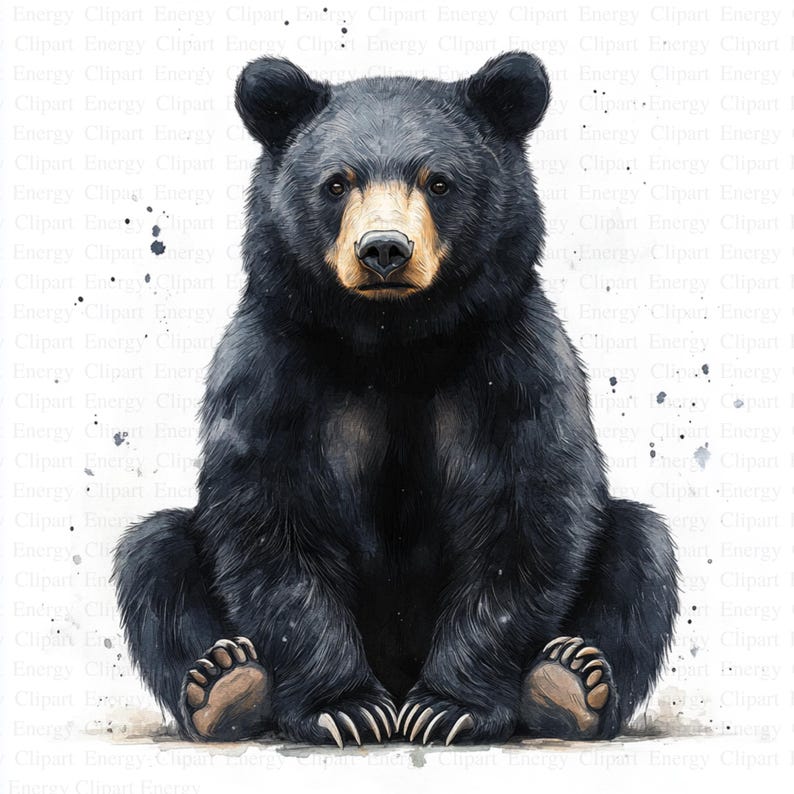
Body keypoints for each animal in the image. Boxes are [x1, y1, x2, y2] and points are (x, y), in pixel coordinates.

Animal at [112, 52, 680, 747]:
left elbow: (530, 511)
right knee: (153, 554)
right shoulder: (271, 368)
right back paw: (226, 684)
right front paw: (346, 707)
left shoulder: (518, 365)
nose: (384, 248)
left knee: (641, 547)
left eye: (439, 181)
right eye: (336, 183)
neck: (394, 341)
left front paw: (446, 707)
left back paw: (570, 682)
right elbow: (268, 517)